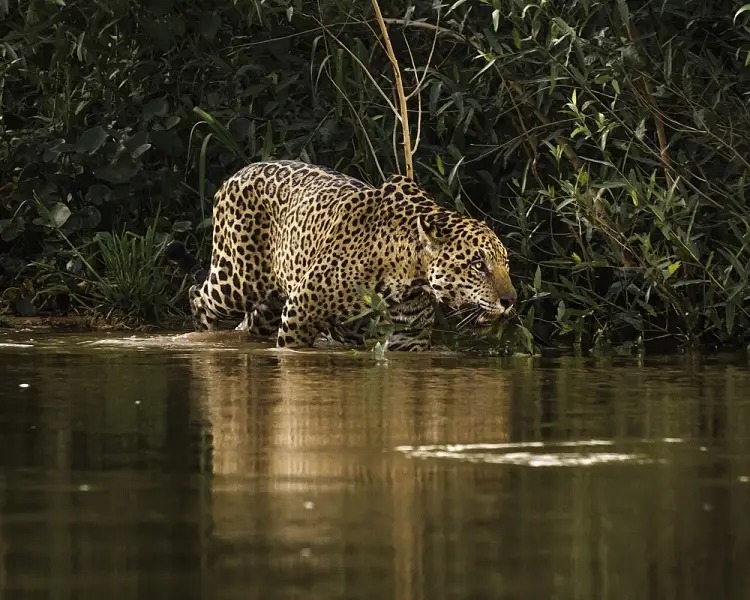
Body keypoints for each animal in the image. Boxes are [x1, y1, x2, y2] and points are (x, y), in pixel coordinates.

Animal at [166, 160, 517, 351]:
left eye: (505, 265)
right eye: (478, 266)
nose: (510, 300)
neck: (409, 276)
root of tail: (236, 174)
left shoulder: (409, 338)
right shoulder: (301, 313)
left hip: (269, 303)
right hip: (237, 278)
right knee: (198, 294)